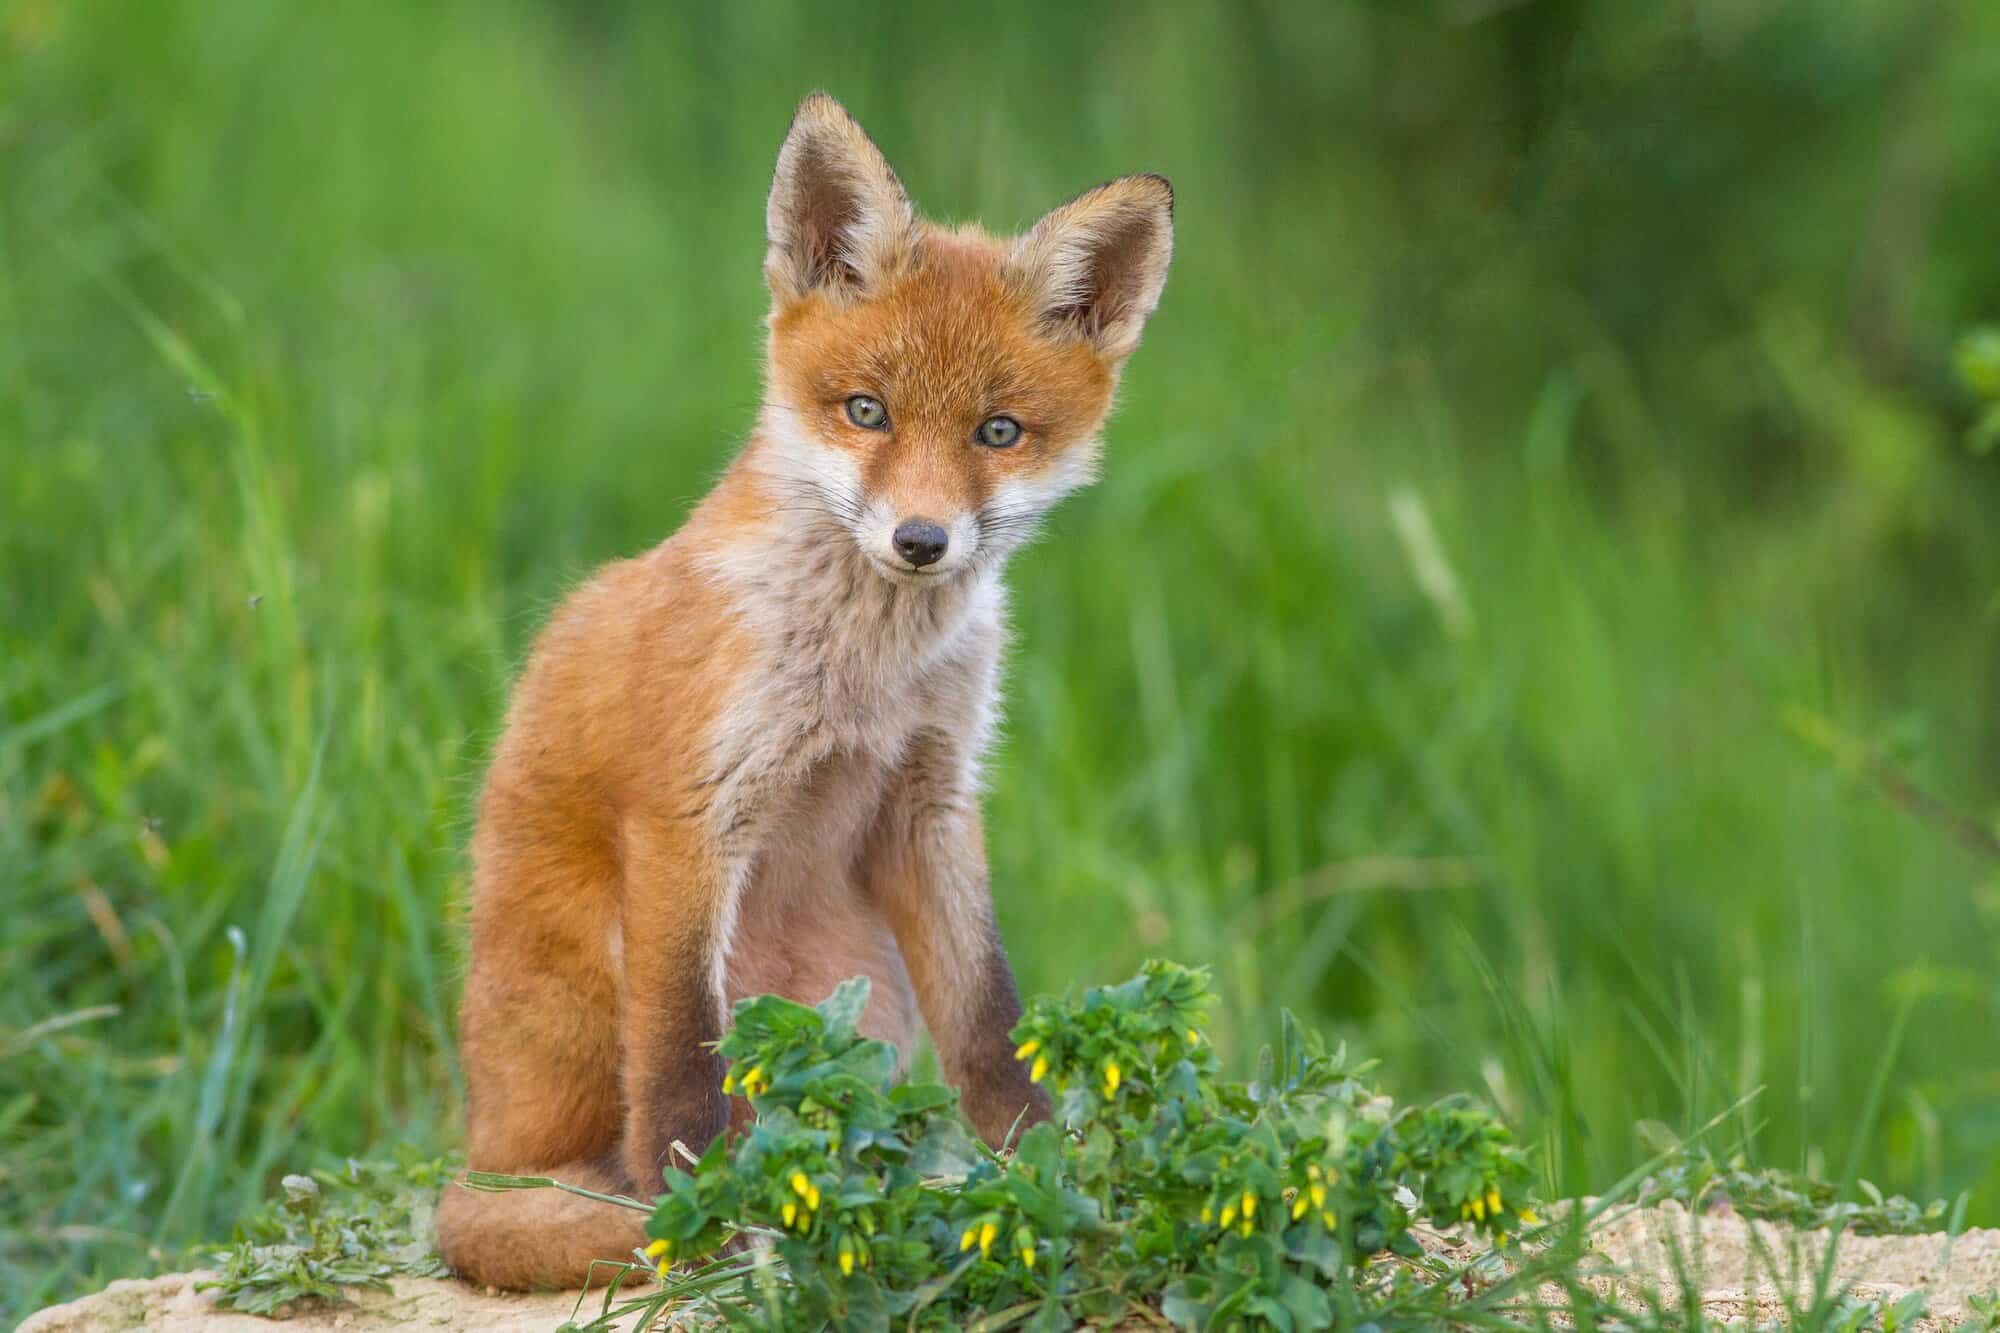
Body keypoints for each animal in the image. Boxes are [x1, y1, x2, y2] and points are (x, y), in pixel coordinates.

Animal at [434, 93, 1174, 1290]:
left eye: (997, 432)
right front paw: (704, 1233)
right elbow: (680, 1071)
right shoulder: (689, 815)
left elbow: (989, 1022)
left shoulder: (931, 799)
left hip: (864, 992)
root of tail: (478, 1151)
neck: (866, 679)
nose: (920, 541)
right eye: (866, 411)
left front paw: (1050, 1180)